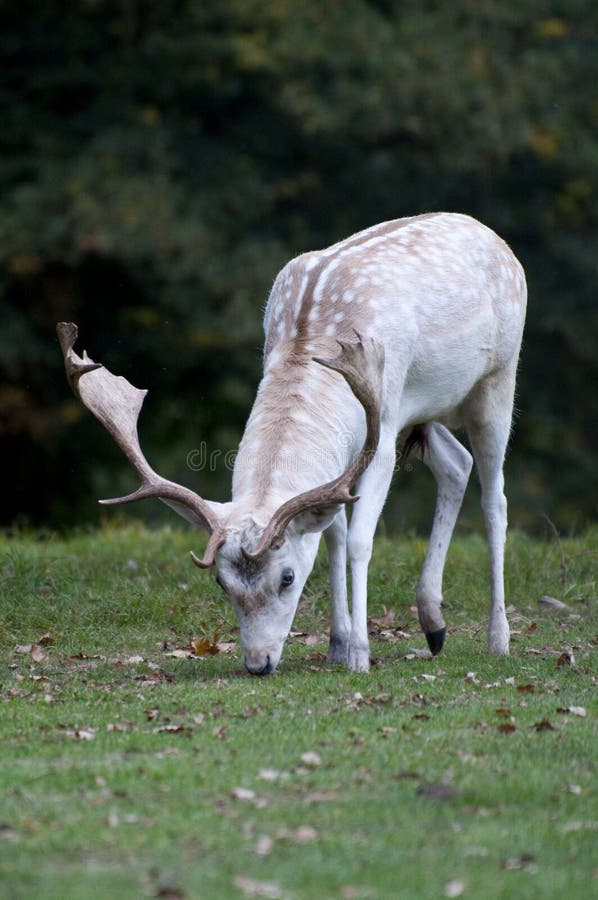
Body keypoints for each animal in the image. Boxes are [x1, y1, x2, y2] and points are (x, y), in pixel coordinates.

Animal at [57, 212, 527, 675]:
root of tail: (500, 242)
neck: (310, 342)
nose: (258, 663)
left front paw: (360, 654)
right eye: (221, 581)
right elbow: (334, 535)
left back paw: (498, 638)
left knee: (496, 499)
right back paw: (434, 624)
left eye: (287, 578)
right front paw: (338, 645)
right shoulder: (347, 453)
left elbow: (359, 540)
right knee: (457, 464)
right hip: (426, 409)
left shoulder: (382, 431)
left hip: (497, 377)